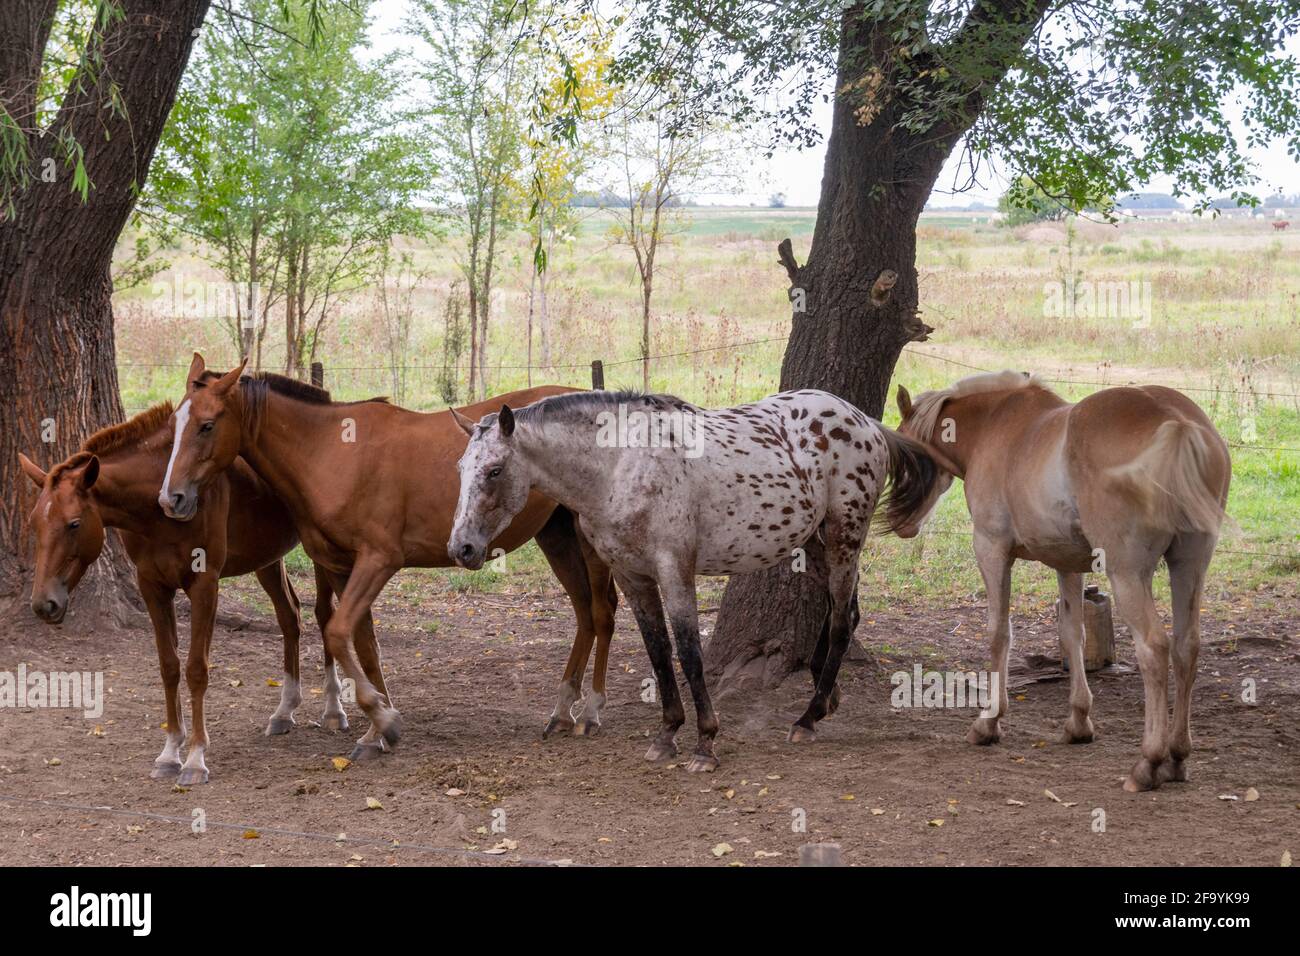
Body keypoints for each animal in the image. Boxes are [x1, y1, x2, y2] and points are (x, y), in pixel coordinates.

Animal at [17, 403, 346, 786]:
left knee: (324, 616)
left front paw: (195, 759)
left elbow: (196, 670)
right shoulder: (153, 587)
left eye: (73, 524)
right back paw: (284, 710)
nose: (44, 603)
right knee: (290, 617)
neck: (157, 507)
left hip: (321, 553)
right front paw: (170, 752)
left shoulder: (204, 585)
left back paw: (334, 709)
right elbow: (169, 666)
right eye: (34, 523)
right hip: (267, 559)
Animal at [158, 354, 618, 759]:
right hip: (556, 537)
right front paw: (376, 730)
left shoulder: (378, 561)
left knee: (602, 612)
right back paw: (562, 711)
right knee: (583, 612)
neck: (330, 453)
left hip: (588, 539)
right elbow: (363, 644)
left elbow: (337, 633)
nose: (171, 498)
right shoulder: (341, 567)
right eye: (174, 424)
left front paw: (383, 719)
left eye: (207, 425)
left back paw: (591, 711)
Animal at [448, 388, 943, 772]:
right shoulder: (633, 577)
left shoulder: (674, 570)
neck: (620, 466)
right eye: (460, 469)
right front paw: (666, 735)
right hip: (817, 543)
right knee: (848, 613)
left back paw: (807, 719)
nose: (462, 548)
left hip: (844, 538)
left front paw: (705, 743)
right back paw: (826, 700)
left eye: (494, 471)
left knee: (841, 621)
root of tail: (866, 422)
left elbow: (688, 653)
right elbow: (658, 652)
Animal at [891, 371, 1231, 792]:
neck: (995, 425)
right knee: (1187, 646)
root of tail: (1179, 422)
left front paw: (989, 721)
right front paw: (1079, 722)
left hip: (1128, 573)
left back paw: (1149, 762)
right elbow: (1073, 635)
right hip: (1189, 565)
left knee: (1154, 649)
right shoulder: (1069, 564)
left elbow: (998, 633)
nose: (902, 525)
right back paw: (1178, 756)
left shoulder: (991, 549)